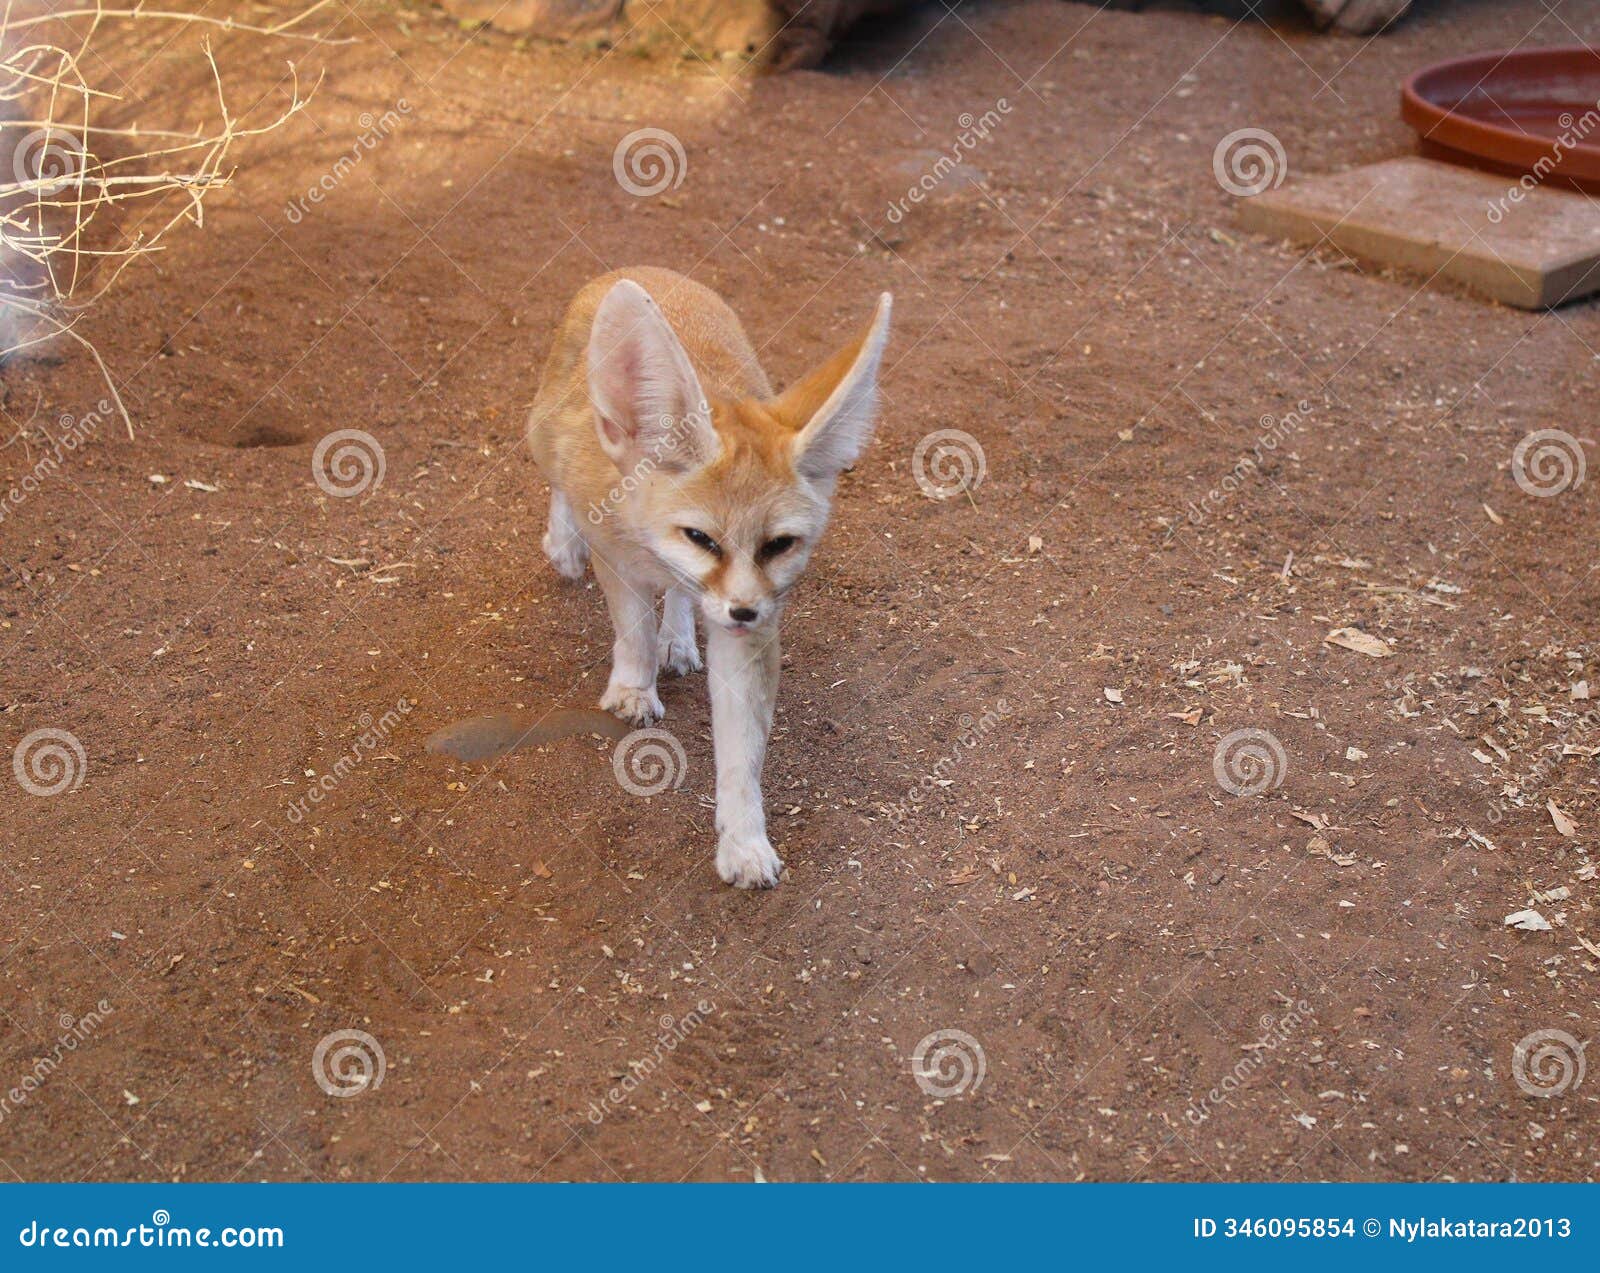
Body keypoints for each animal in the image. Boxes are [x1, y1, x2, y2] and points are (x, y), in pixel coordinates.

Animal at [526, 267, 892, 889]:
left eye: (778, 545)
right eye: (702, 538)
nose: (745, 611)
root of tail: (642, 269)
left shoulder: (751, 628)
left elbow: (741, 752)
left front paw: (743, 841)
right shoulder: (617, 556)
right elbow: (633, 632)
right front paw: (633, 689)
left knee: (678, 596)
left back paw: (678, 636)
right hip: (546, 437)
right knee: (558, 485)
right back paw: (565, 545)